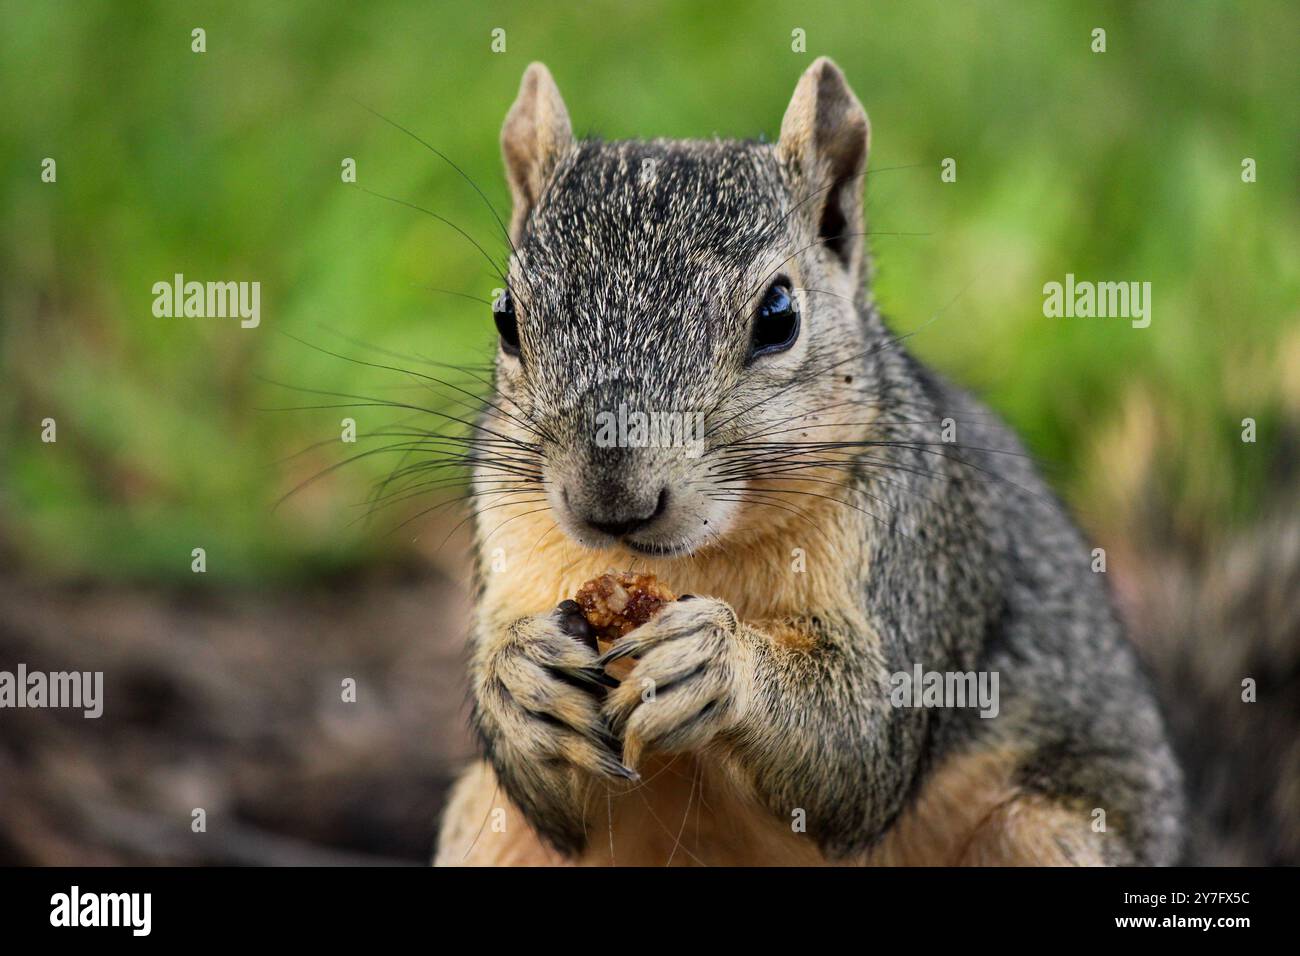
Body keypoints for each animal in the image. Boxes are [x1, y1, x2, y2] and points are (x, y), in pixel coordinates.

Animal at [433, 58, 1185, 866]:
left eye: (779, 316)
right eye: (506, 319)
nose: (612, 501)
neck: (695, 561)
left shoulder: (913, 549)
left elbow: (861, 747)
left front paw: (719, 661)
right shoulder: (510, 533)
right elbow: (554, 808)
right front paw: (519, 680)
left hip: (1049, 834)